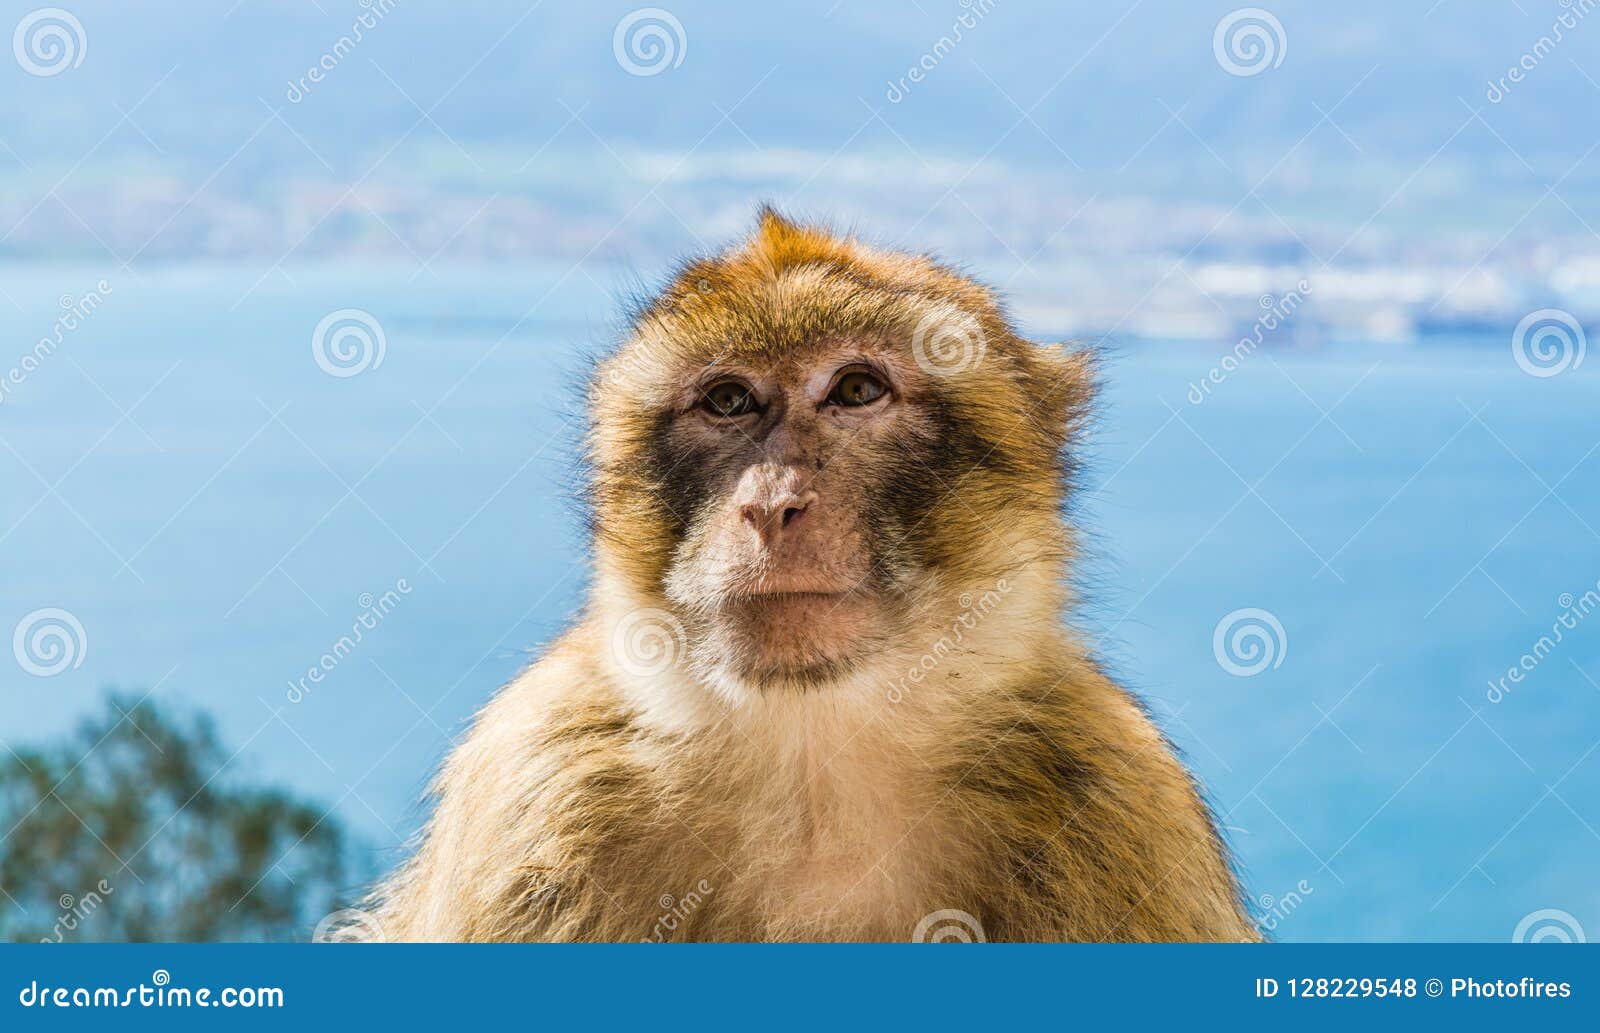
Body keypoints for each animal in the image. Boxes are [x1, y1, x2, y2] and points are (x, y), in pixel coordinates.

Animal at [368, 209, 1259, 942]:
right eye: (728, 400)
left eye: (857, 389)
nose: (771, 504)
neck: (814, 772)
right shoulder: (534, 790)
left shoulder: (1119, 803)